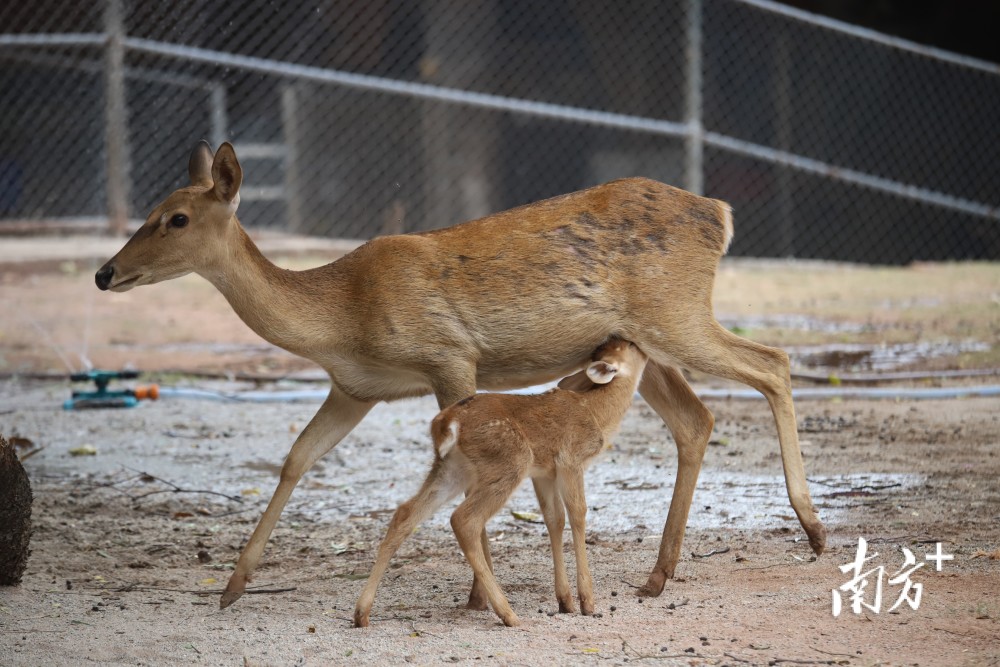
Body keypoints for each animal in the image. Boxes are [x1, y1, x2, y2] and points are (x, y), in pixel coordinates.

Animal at [352, 342, 648, 628]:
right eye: (629, 346)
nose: (642, 347)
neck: (596, 412)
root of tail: (447, 423)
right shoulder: (570, 460)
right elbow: (578, 514)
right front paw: (587, 602)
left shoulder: (543, 473)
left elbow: (554, 519)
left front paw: (565, 602)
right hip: (508, 462)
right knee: (464, 518)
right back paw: (508, 614)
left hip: (452, 468)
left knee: (405, 513)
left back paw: (361, 614)